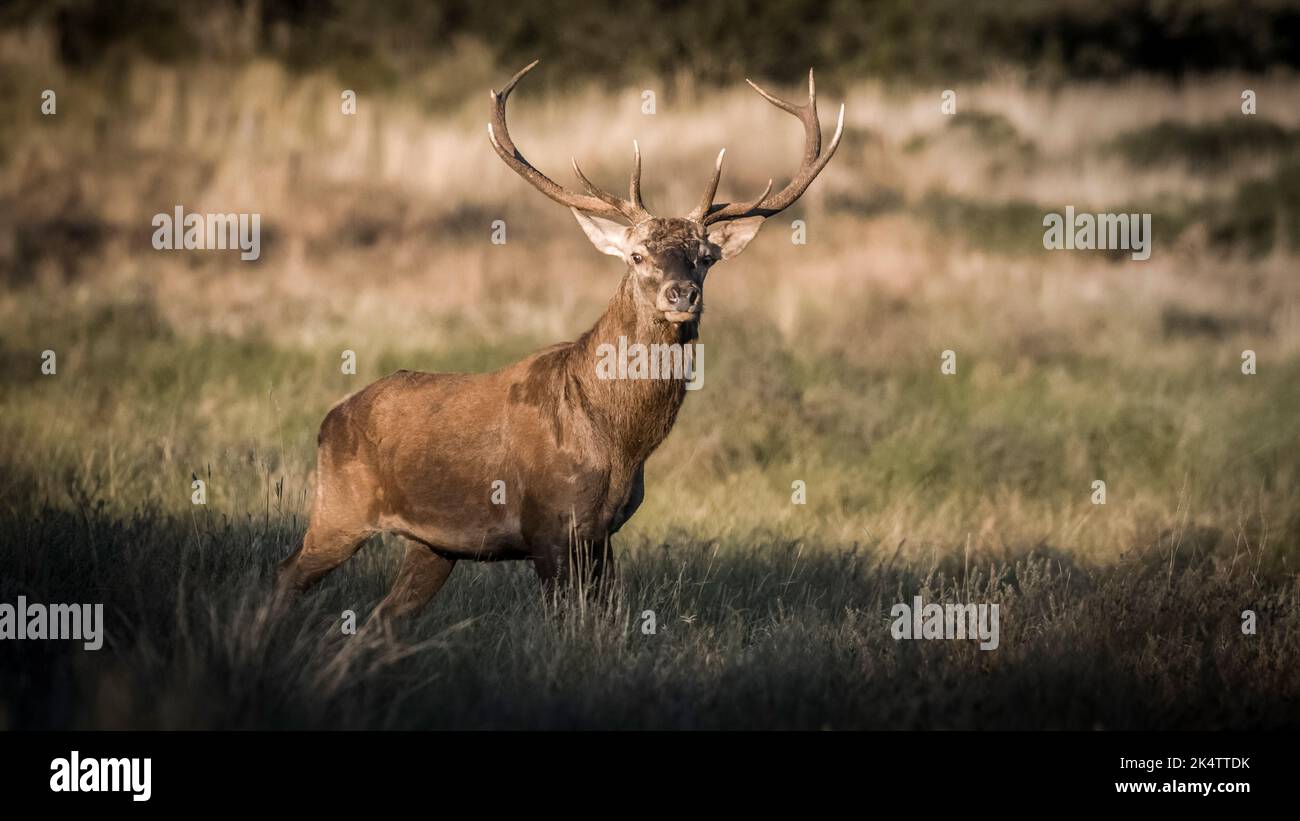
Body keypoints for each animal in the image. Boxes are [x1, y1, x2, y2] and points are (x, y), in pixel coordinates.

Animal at [273, 61, 843, 620]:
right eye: (637, 255)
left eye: (706, 257)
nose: (682, 293)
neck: (619, 440)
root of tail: (328, 420)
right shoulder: (548, 526)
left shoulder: (602, 534)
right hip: (340, 509)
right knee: (286, 574)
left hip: (434, 544)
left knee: (384, 617)